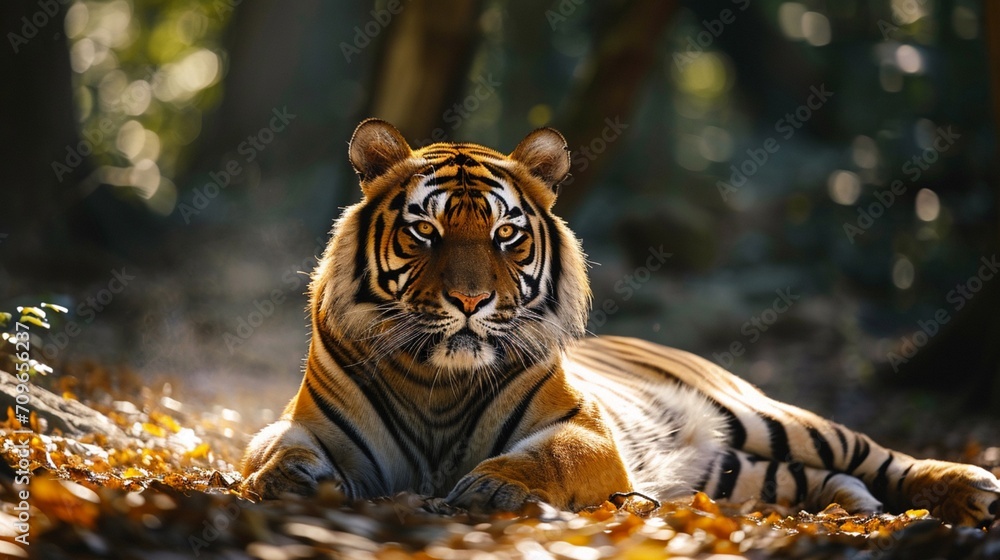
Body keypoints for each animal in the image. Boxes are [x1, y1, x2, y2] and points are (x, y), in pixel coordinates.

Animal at [241, 118, 1000, 527]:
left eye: (506, 234)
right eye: (424, 231)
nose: (469, 302)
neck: (440, 383)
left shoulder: (587, 429)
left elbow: (547, 456)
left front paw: (490, 487)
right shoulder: (306, 425)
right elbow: (275, 451)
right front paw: (281, 484)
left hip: (769, 415)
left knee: (875, 453)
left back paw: (971, 491)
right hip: (734, 471)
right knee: (808, 479)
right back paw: (851, 505)